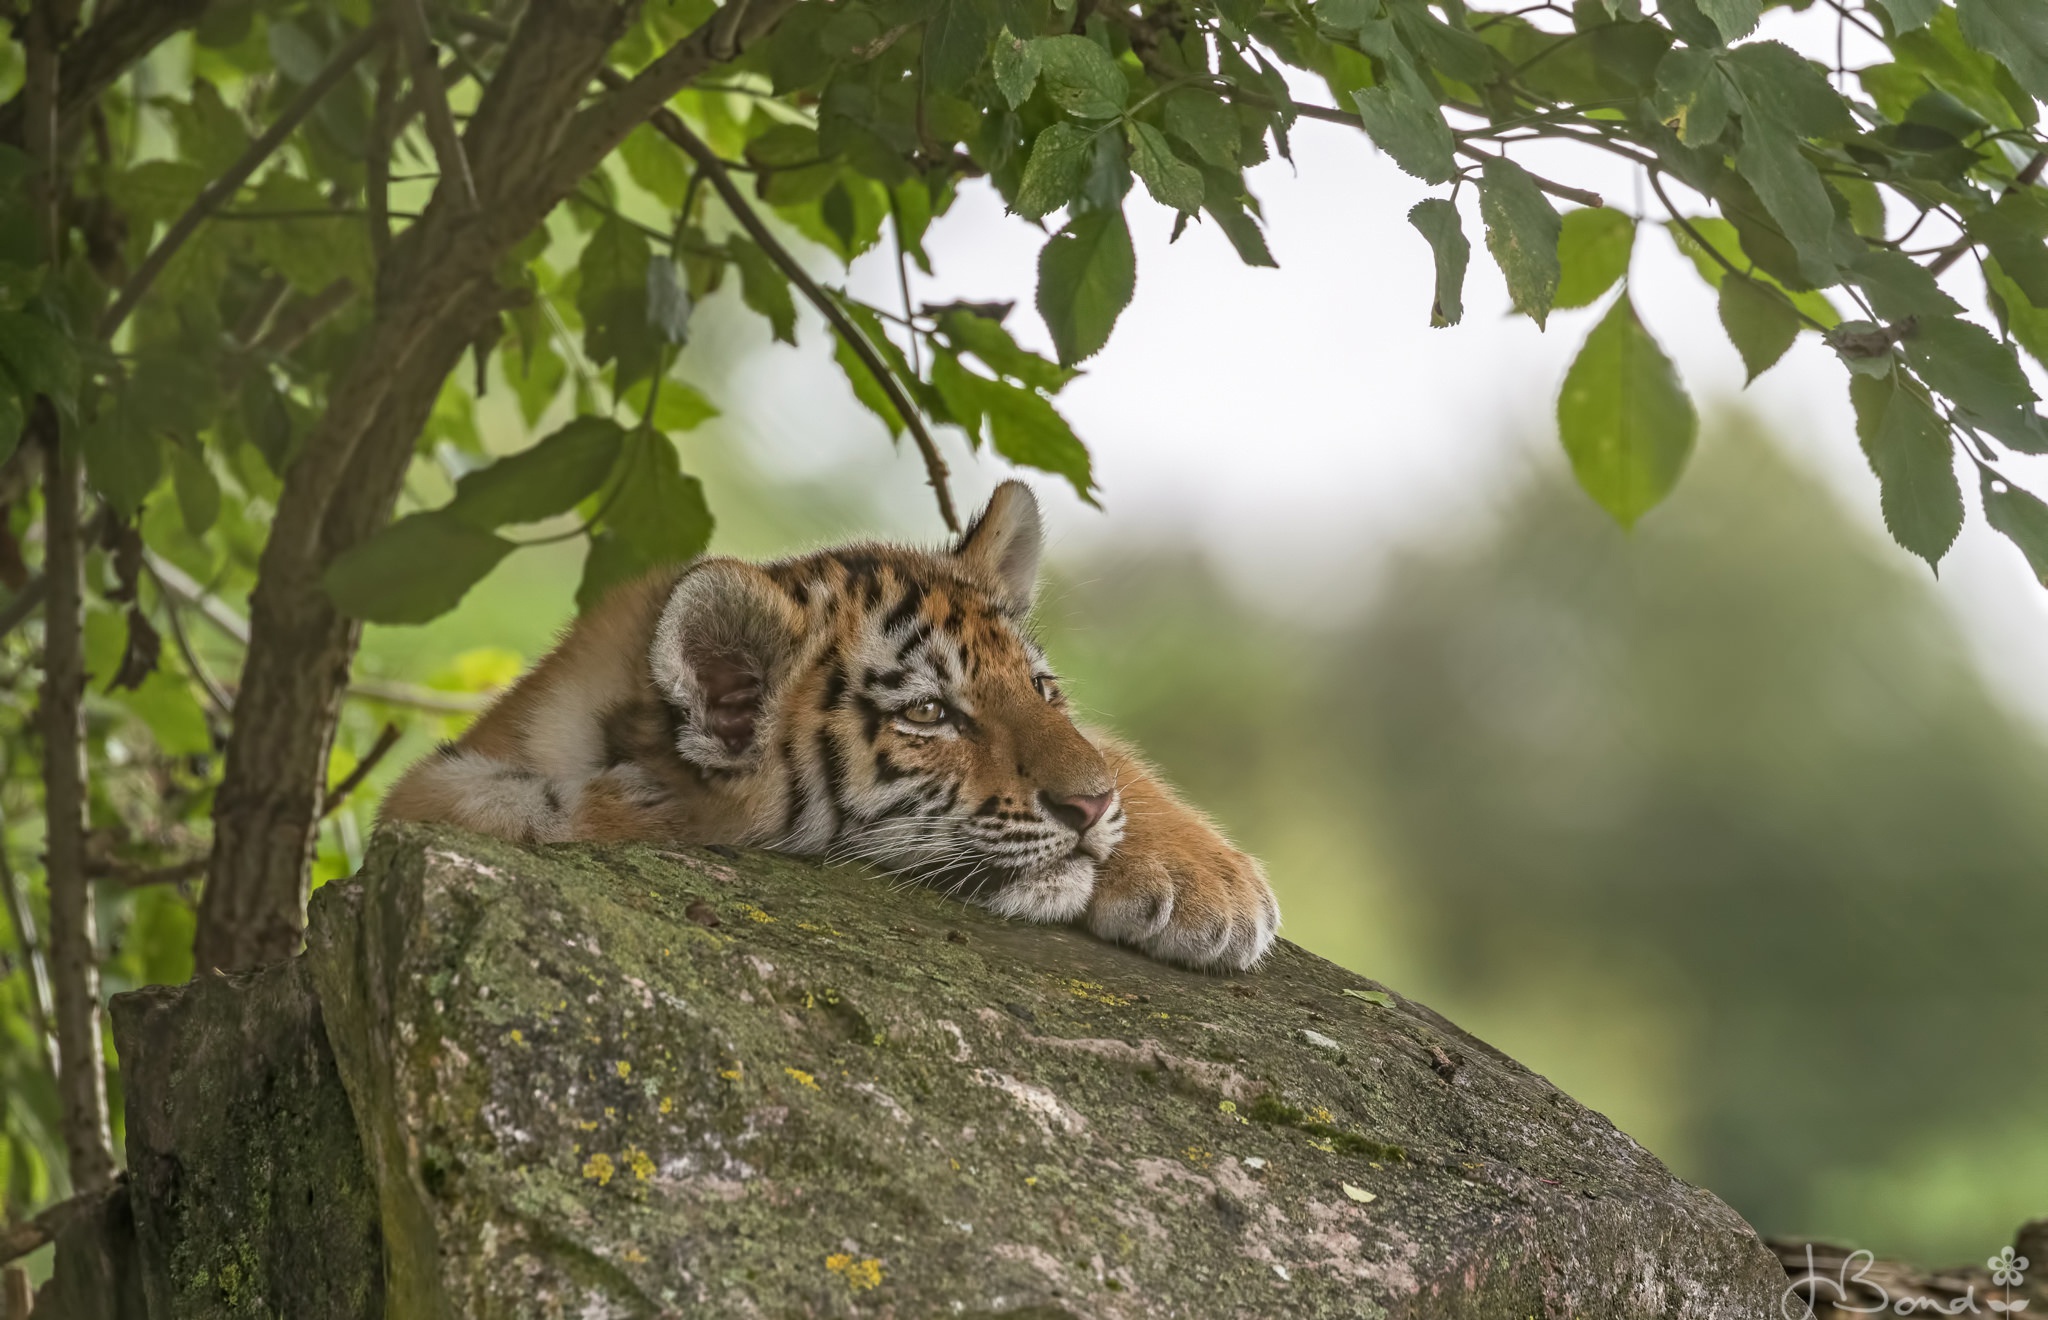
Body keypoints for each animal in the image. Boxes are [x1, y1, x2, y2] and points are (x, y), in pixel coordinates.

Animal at [381, 481, 1280, 971]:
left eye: (1042, 690)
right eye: (927, 713)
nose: (1090, 808)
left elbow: (1112, 751)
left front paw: (1209, 886)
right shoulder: (436, 786)